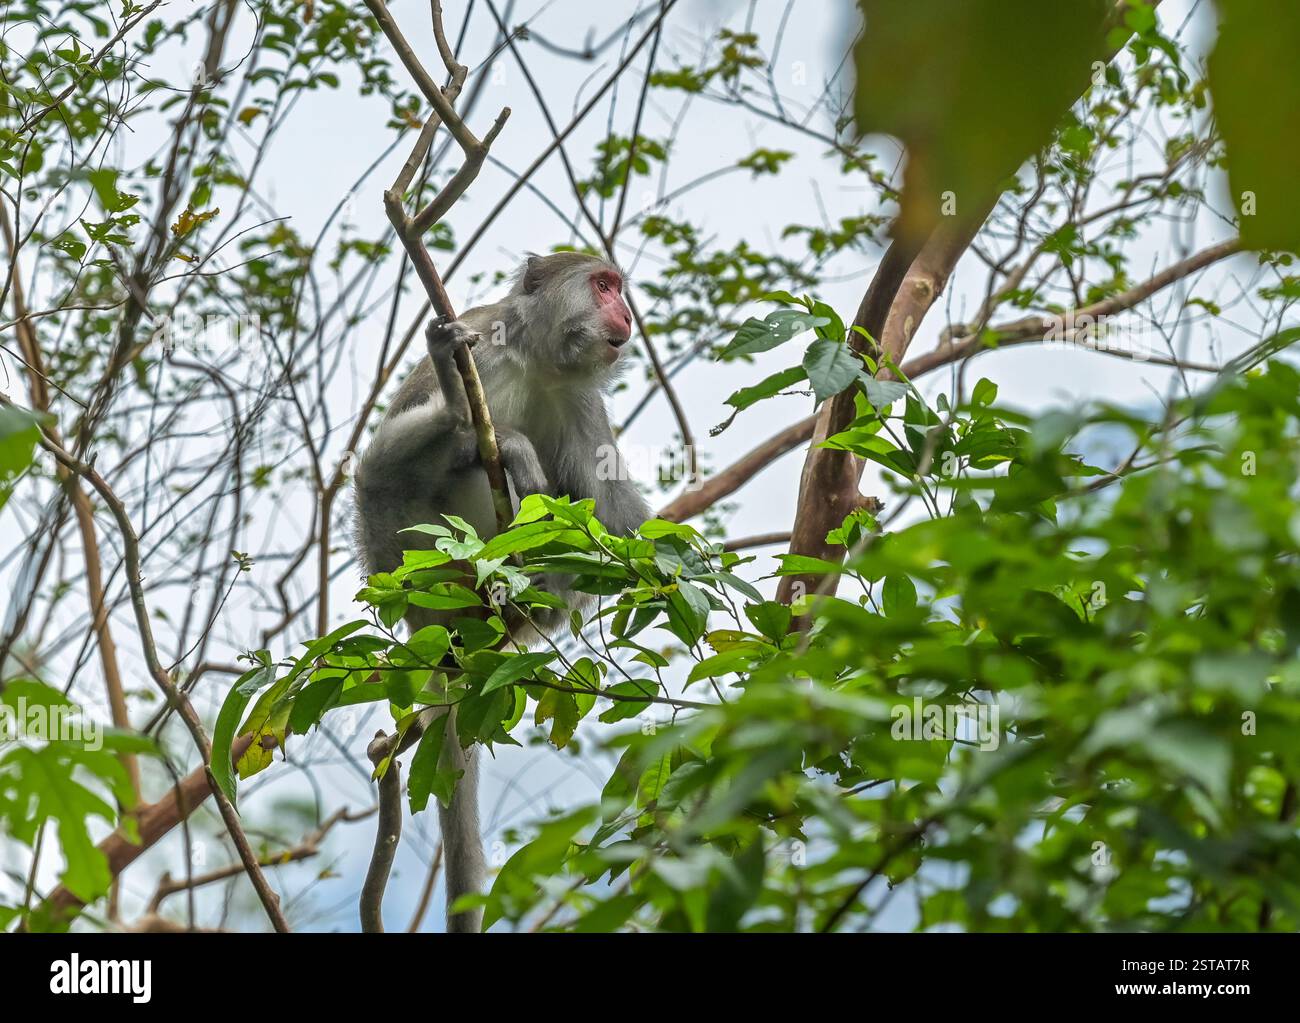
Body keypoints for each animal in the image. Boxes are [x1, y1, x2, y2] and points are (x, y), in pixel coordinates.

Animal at [352, 251, 652, 932]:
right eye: (603, 286)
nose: (625, 313)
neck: (539, 362)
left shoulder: (582, 404)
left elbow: (611, 527)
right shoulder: (483, 343)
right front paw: (480, 425)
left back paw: (524, 592)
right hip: (401, 557)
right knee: (387, 472)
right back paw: (461, 415)